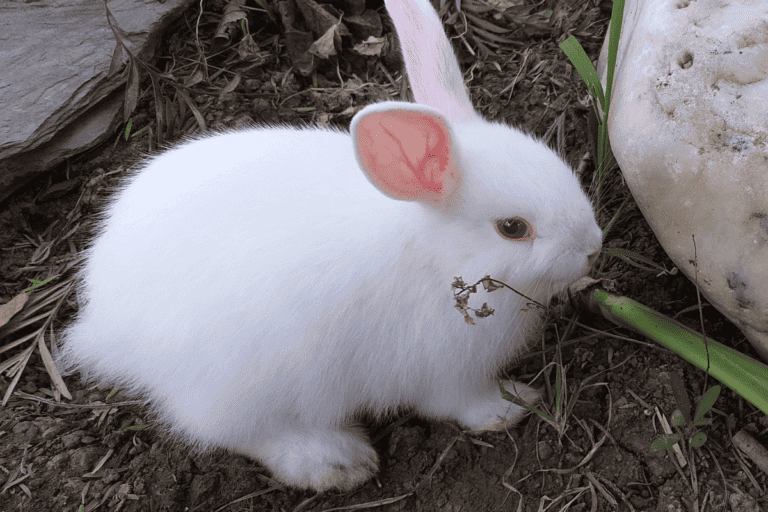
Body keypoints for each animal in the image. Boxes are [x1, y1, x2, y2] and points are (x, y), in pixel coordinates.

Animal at [55, 0, 602, 493]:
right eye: (512, 228)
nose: (594, 245)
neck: (438, 255)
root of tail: (107, 325)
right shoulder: (444, 369)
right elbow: (460, 403)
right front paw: (512, 406)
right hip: (245, 383)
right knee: (233, 431)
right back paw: (334, 461)